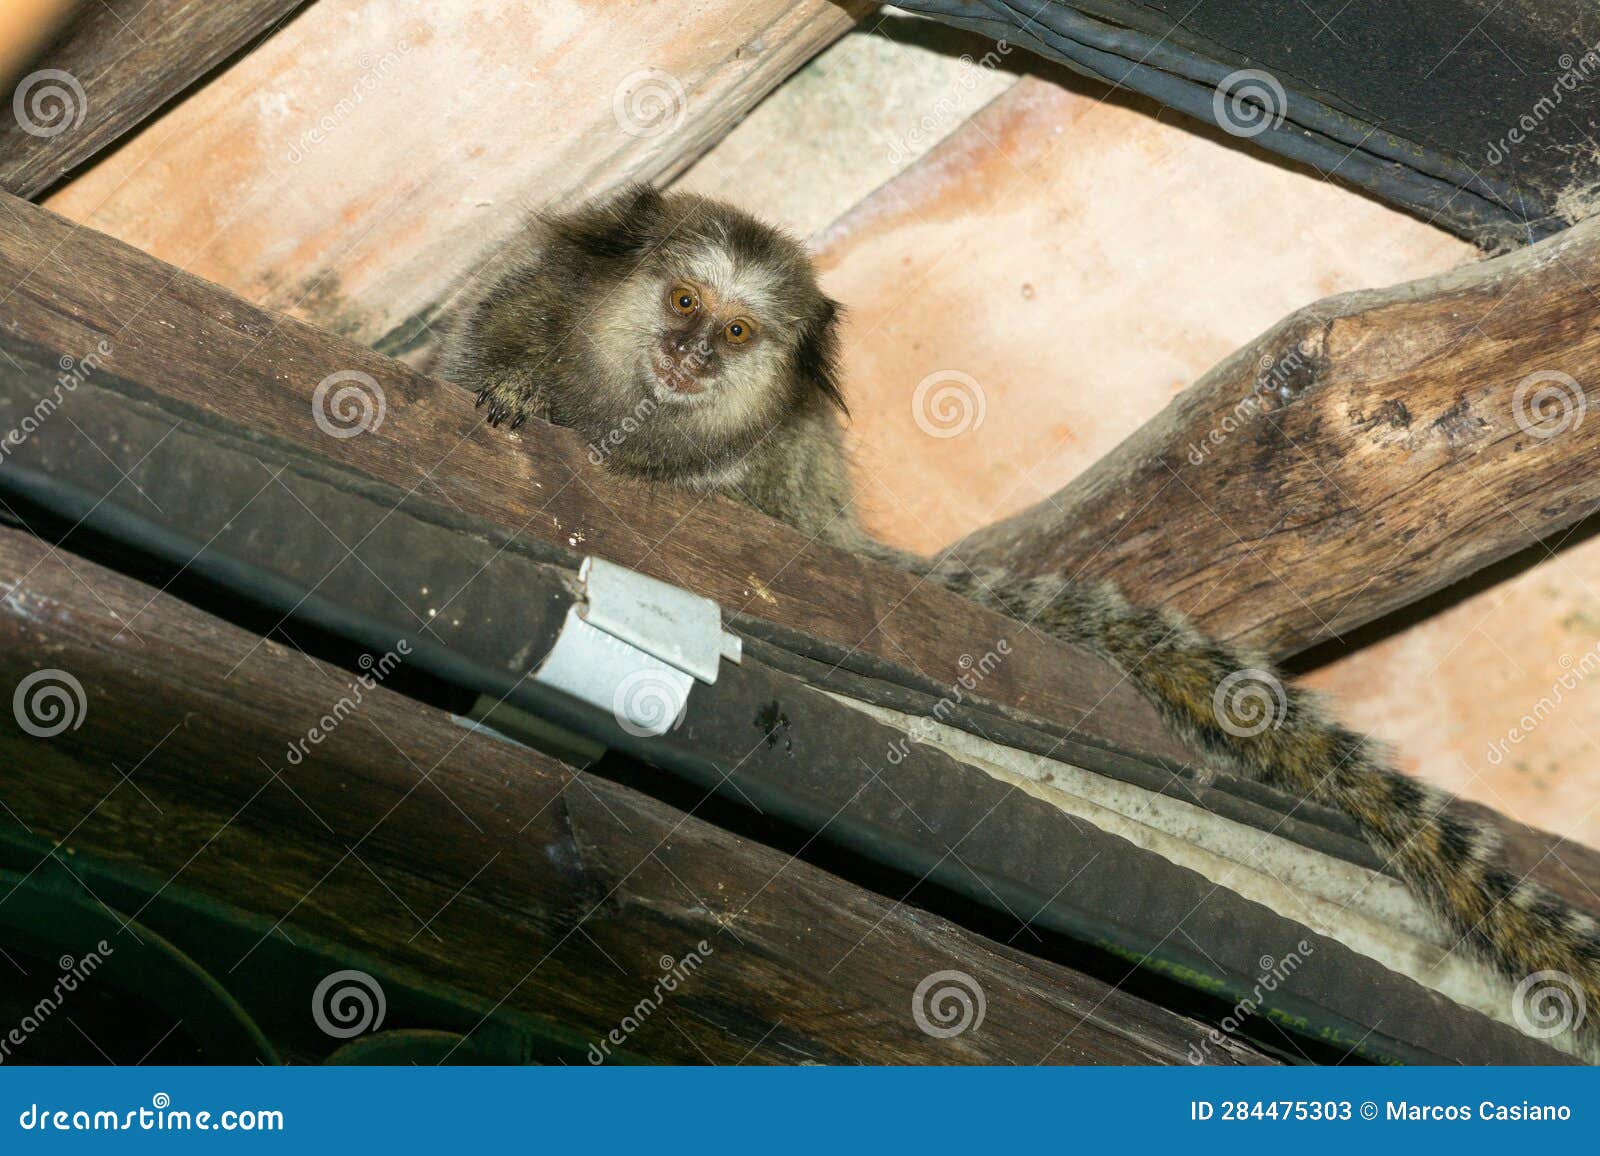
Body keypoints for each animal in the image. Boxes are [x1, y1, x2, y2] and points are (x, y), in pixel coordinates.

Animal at [438, 183, 1600, 1055]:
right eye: (679, 299)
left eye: (734, 330)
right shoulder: (520, 303)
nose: (694, 358)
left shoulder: (771, 468)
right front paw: (520, 396)